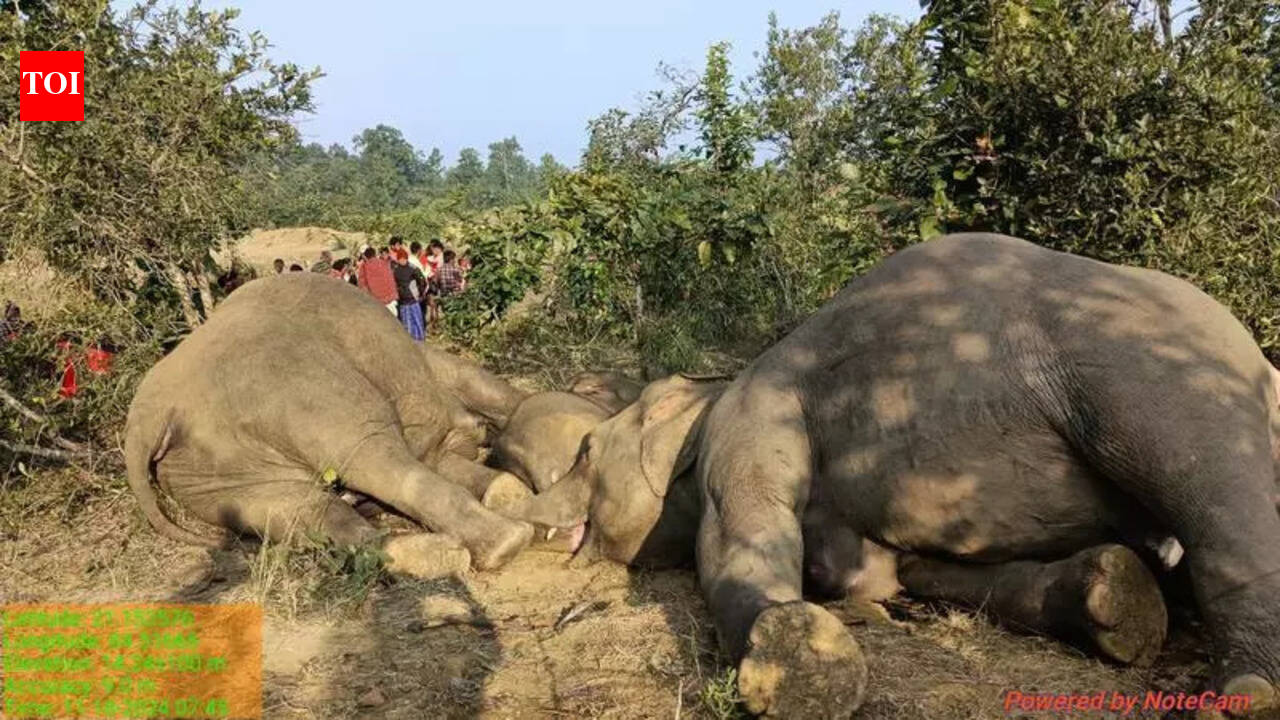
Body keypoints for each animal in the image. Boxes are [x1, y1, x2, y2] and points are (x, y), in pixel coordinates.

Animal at [124, 272, 536, 573]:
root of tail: (150, 417)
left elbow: (446, 457)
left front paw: (504, 489)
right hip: (301, 391)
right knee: (370, 455)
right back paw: (504, 545)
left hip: (203, 471)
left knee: (296, 509)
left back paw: (430, 556)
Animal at [513, 233, 1280, 717]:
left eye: (585, 451)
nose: (527, 520)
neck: (714, 390)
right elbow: (904, 574)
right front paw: (1114, 602)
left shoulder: (749, 414)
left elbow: (738, 528)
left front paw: (798, 664)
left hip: (1152, 375)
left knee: (1217, 493)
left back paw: (1246, 696)